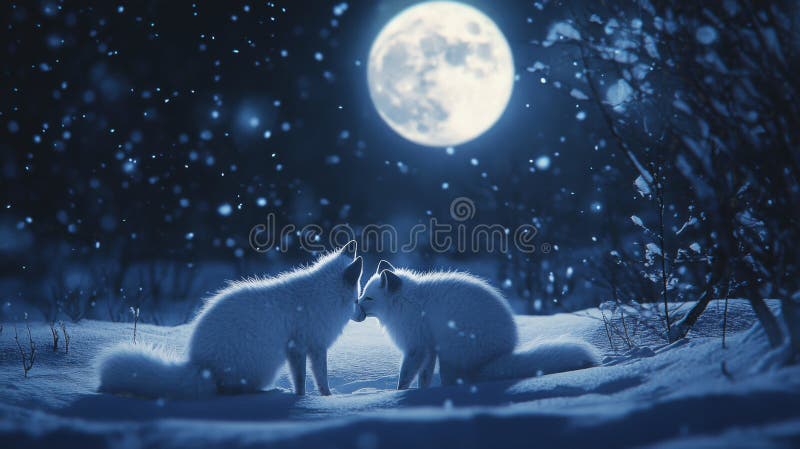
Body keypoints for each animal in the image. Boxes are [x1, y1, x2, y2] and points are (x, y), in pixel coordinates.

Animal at [97, 241, 363, 399]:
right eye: (357, 298)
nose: (362, 315)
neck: (322, 295)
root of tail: (201, 367)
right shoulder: (303, 347)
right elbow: (310, 380)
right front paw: (319, 399)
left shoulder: (307, 348)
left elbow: (312, 379)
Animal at [351, 261, 599, 389]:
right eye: (363, 294)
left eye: (368, 298)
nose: (355, 309)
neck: (405, 301)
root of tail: (498, 356)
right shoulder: (429, 347)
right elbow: (424, 377)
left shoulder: (416, 346)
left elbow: (405, 377)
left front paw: (398, 395)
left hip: (451, 351)